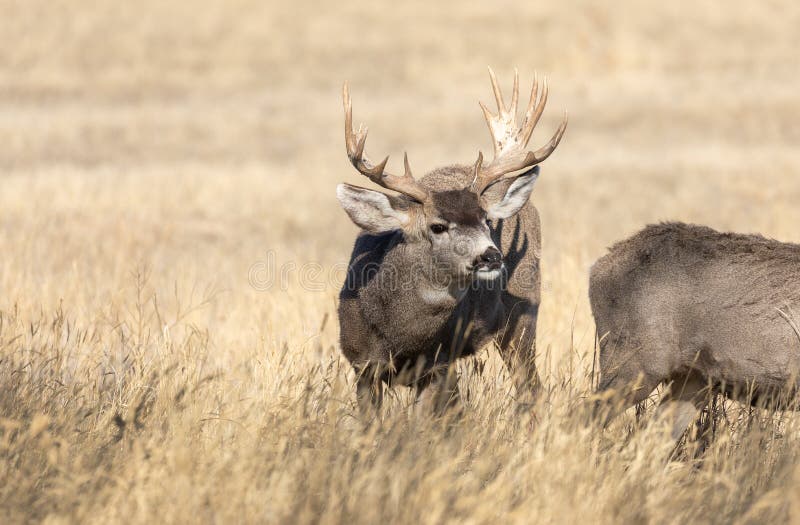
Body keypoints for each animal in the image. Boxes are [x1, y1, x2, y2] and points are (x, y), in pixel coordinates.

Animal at [336, 69, 567, 414]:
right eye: (437, 226)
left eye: (486, 220)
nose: (491, 256)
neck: (397, 335)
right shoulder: (362, 366)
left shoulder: (437, 365)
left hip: (523, 313)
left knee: (530, 387)